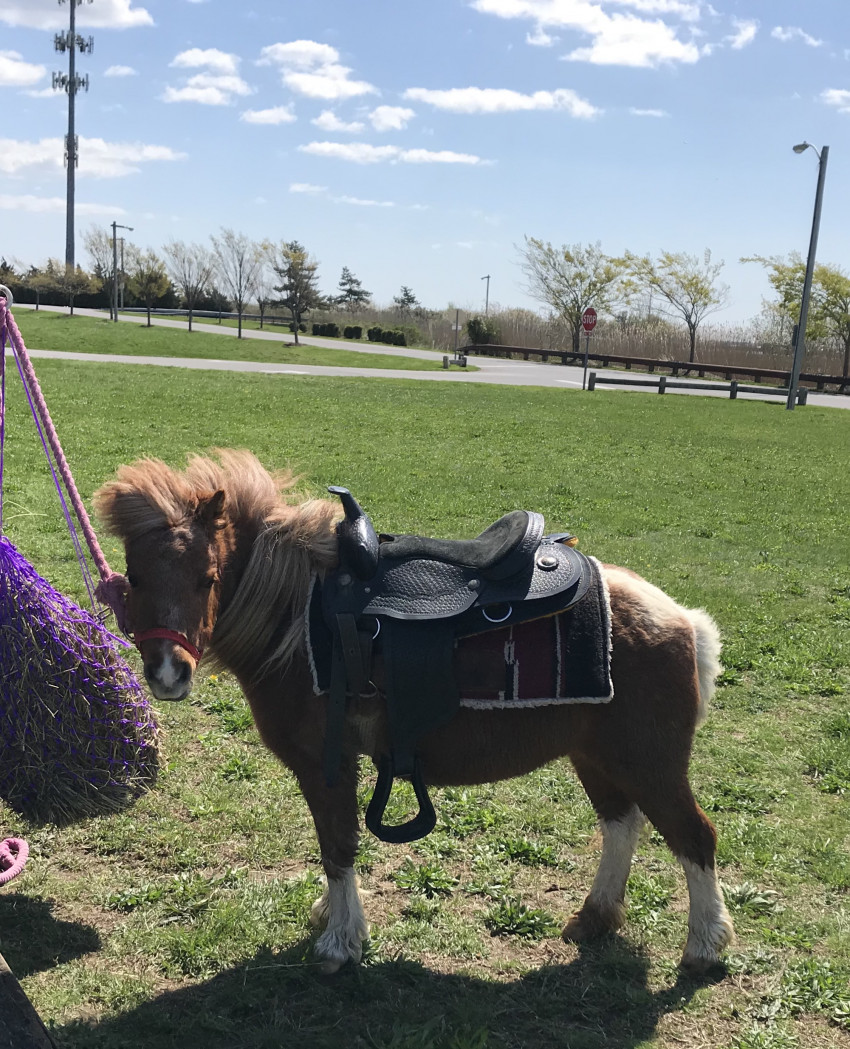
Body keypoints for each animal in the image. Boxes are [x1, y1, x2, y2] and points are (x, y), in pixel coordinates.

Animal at [93, 449, 734, 975]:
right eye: (136, 576)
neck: (298, 618)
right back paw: (596, 917)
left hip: (648, 761)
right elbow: (337, 844)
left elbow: (337, 846)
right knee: (621, 824)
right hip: (596, 756)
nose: (167, 674)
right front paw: (331, 917)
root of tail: (680, 619)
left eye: (208, 579)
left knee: (694, 836)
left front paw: (339, 942)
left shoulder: (325, 764)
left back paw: (705, 946)